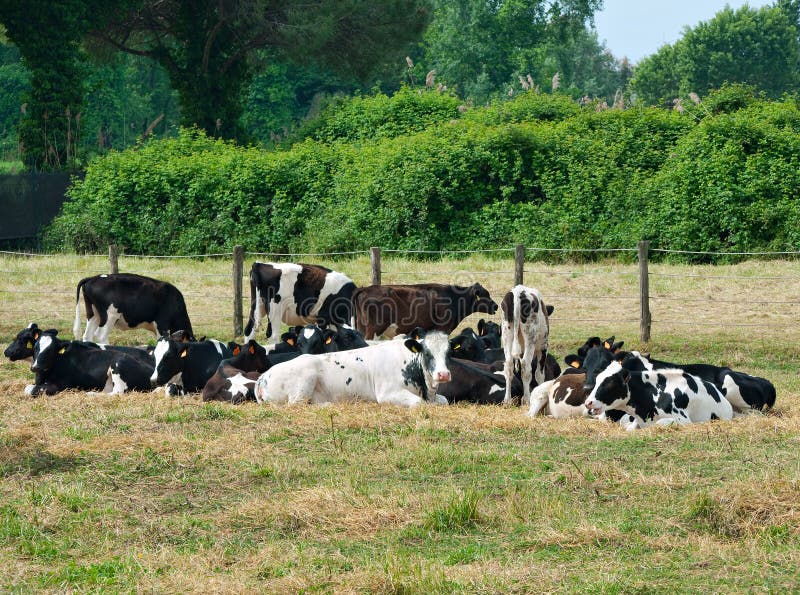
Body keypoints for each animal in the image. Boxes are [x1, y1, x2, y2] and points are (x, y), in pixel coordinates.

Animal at [26, 330, 154, 396]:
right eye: (35, 348)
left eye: (51, 350)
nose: (36, 367)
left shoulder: (59, 385)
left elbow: (29, 390)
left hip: (118, 363)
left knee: (117, 392)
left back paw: (91, 394)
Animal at [254, 328, 452, 407]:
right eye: (427, 353)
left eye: (449, 352)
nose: (443, 374)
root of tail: (263, 376)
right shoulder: (387, 394)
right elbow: (418, 404)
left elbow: (445, 400)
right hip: (304, 381)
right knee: (296, 405)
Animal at [352, 283, 498, 340]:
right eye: (485, 295)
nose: (496, 306)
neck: (453, 298)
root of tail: (365, 288)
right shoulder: (443, 328)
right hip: (375, 329)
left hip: (361, 326)